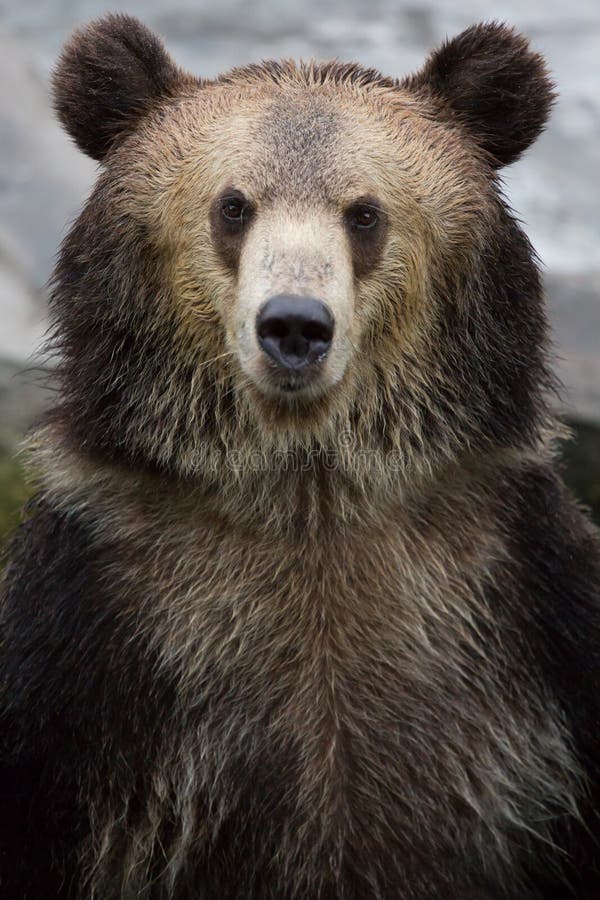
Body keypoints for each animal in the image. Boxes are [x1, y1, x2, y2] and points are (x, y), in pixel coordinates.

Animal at [1, 12, 599, 899]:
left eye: (364, 213)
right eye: (233, 206)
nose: (294, 326)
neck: (306, 490)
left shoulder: (524, 602)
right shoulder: (89, 635)